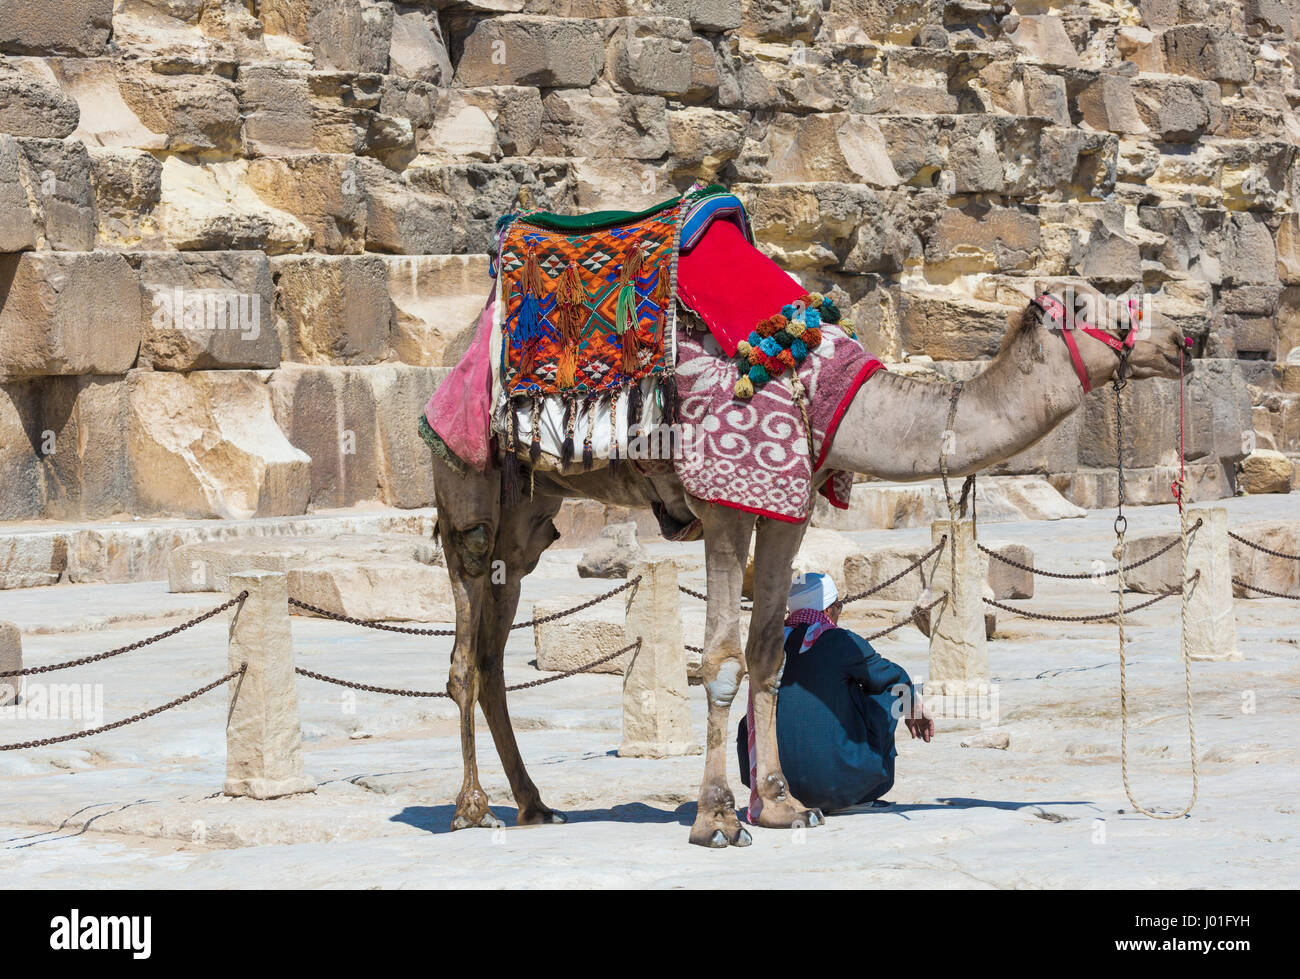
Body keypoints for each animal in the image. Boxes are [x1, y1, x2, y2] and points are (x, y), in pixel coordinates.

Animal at [429, 281, 1192, 847]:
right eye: (1103, 307)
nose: (1189, 340)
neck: (837, 404)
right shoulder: (727, 500)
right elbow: (720, 658)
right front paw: (716, 819)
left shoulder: (787, 511)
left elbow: (769, 652)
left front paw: (780, 805)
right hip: (467, 480)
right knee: (465, 644)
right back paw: (472, 807)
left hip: (529, 514)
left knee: (494, 646)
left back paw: (535, 804)